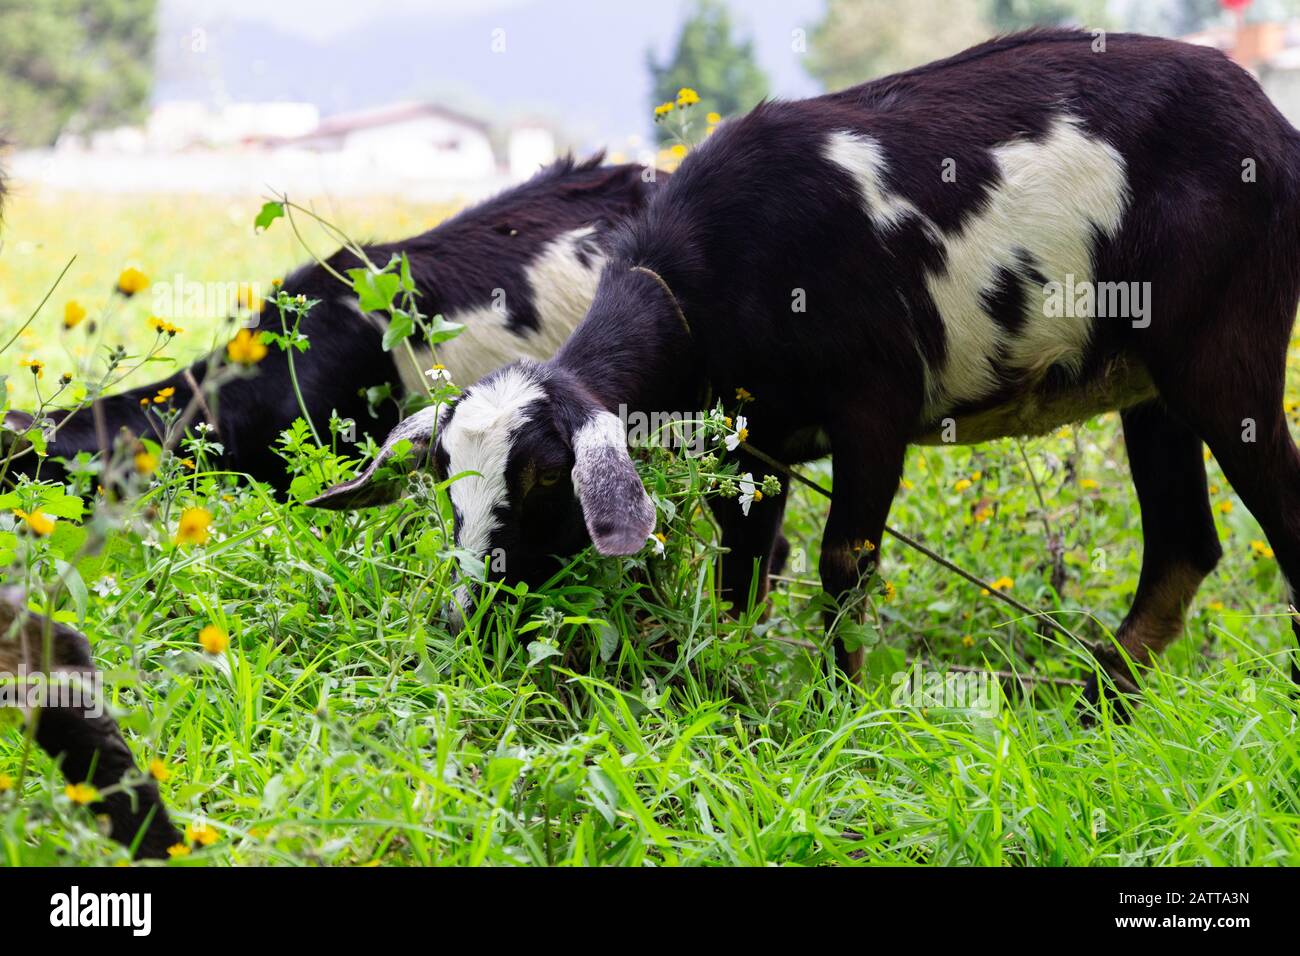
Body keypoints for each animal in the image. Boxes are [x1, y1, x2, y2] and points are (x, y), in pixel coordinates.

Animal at [311, 30, 1300, 703]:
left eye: (550, 476)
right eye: (444, 475)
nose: (465, 621)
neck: (704, 275)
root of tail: (1276, 131)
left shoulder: (876, 404)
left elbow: (842, 565)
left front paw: (841, 709)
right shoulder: (755, 447)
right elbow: (743, 576)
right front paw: (729, 687)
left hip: (1229, 350)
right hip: (1147, 381)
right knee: (1183, 545)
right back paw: (1088, 707)